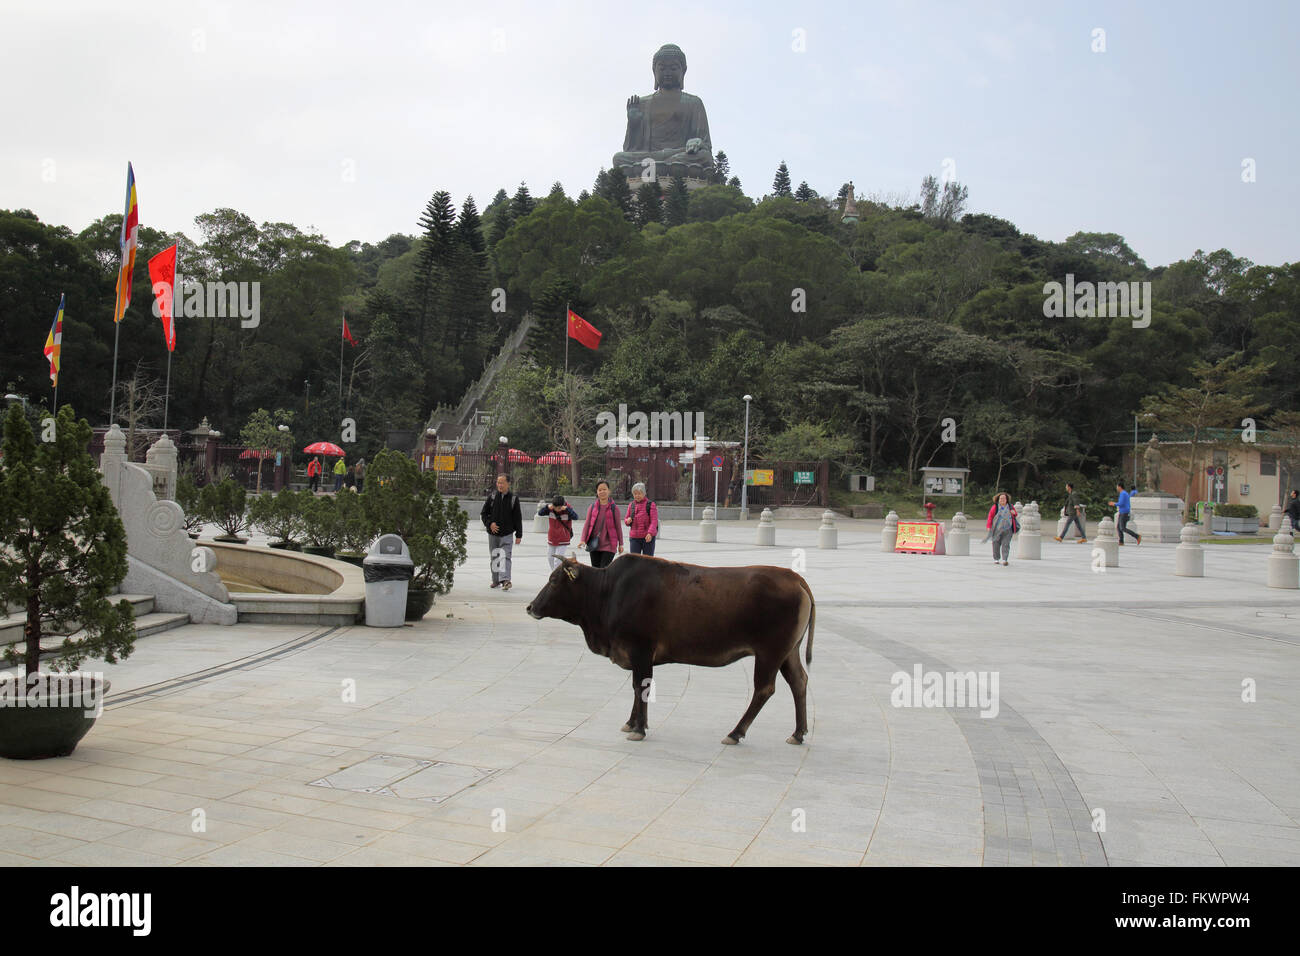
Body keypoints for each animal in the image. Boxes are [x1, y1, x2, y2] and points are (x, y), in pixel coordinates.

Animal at [525, 554, 814, 745]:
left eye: (554, 580)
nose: (531, 607)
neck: (609, 592)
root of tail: (794, 576)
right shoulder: (637, 655)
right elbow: (636, 688)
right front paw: (633, 722)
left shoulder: (641, 650)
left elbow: (641, 686)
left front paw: (639, 728)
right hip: (788, 652)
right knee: (799, 682)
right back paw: (798, 732)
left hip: (769, 653)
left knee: (764, 690)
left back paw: (736, 732)